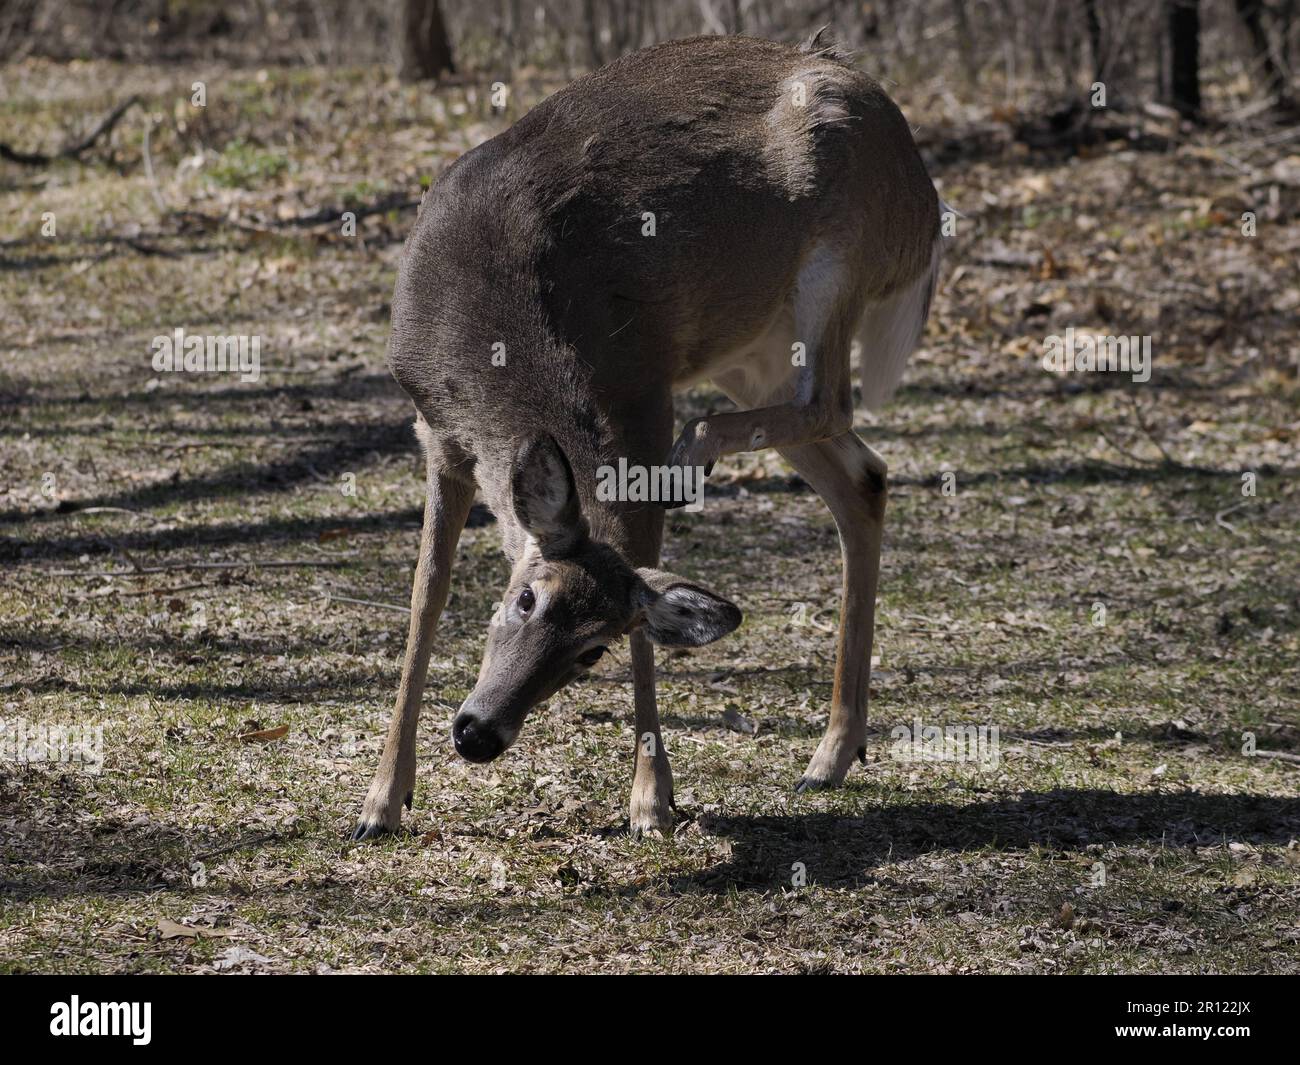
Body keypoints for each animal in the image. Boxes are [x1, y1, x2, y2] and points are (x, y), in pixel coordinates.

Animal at [352, 32, 945, 841]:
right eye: (524, 599)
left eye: (590, 651)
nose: (479, 733)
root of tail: (925, 194)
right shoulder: (434, 428)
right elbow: (426, 596)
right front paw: (381, 800)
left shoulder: (642, 397)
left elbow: (643, 591)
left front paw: (652, 800)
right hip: (752, 349)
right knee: (863, 475)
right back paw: (832, 754)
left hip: (839, 263)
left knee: (833, 405)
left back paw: (701, 449)